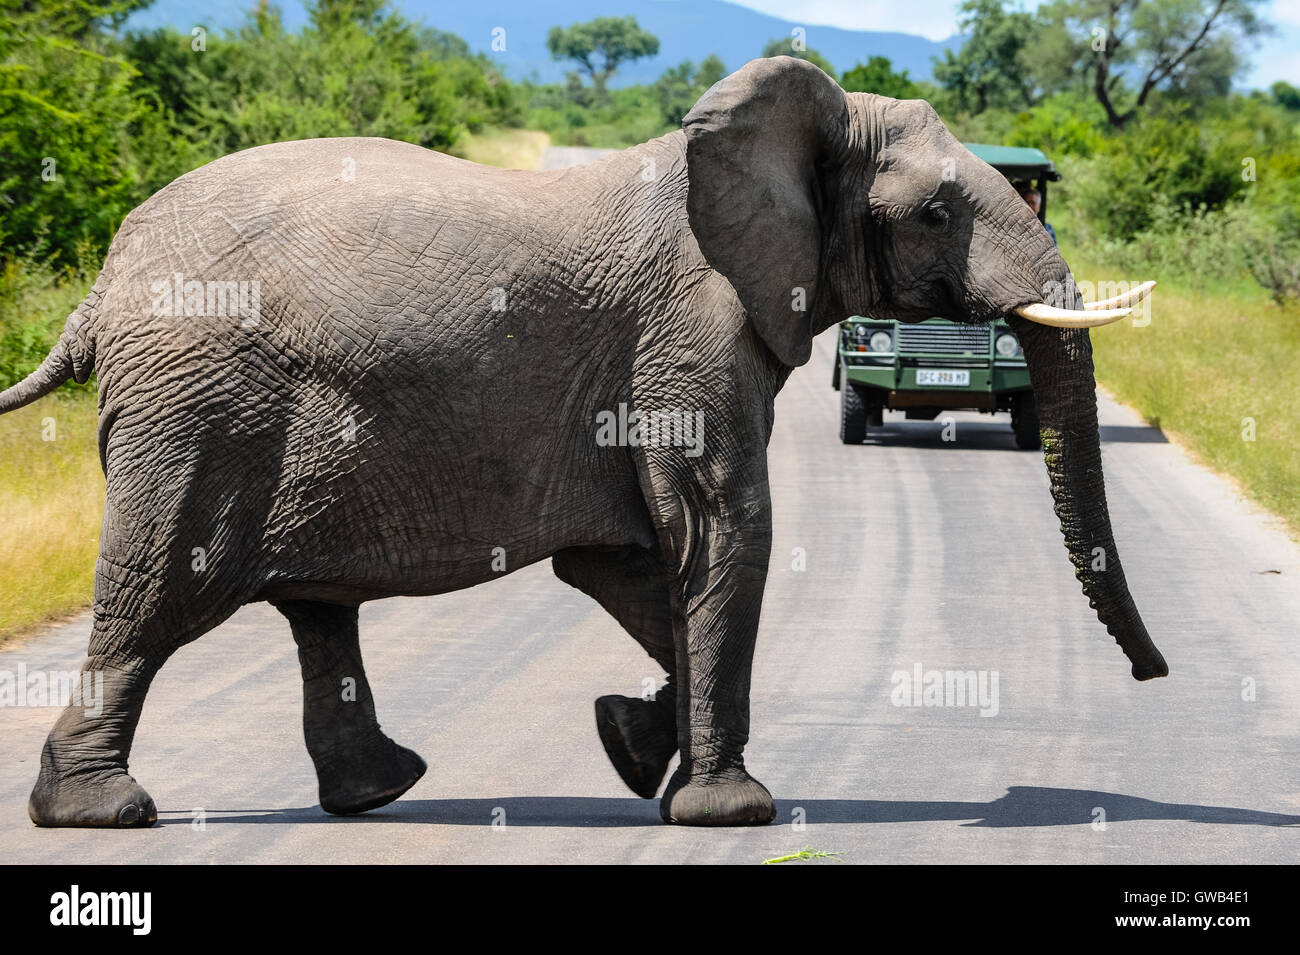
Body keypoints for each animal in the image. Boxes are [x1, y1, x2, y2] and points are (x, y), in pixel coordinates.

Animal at [1, 56, 1167, 830]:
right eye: (932, 214)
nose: (1155, 674)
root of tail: (102, 284)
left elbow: (632, 563)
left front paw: (634, 745)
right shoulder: (688, 332)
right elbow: (723, 528)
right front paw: (728, 810)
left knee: (313, 607)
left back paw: (378, 789)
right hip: (199, 408)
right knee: (164, 587)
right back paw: (105, 812)